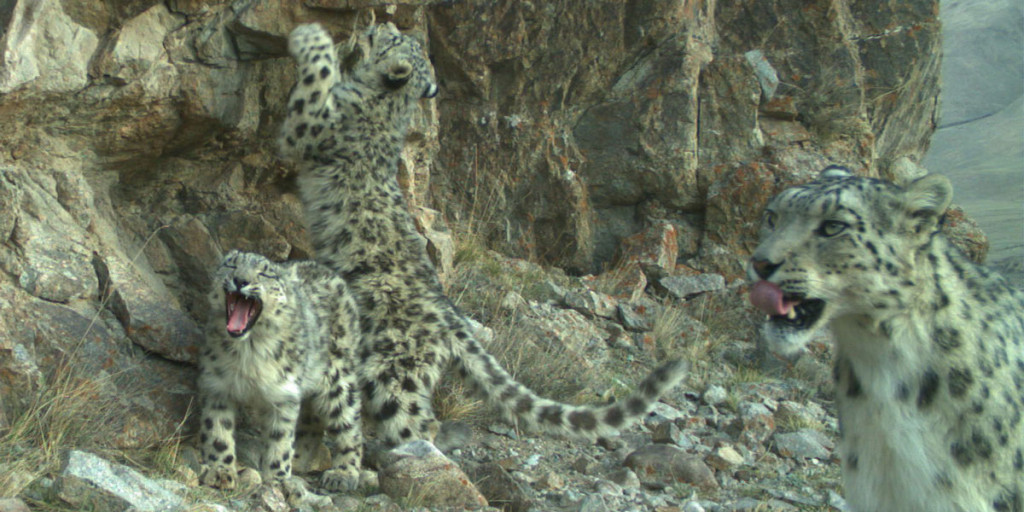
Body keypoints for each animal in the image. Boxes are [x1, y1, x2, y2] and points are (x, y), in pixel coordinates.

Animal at [197, 250, 363, 493]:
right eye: (231, 265)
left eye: (265, 273)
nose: (240, 280)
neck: (249, 350)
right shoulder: (218, 386)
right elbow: (218, 430)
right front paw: (220, 471)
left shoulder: (283, 394)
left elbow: (280, 438)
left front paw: (278, 480)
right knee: (311, 422)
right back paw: (300, 460)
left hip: (338, 379)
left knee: (350, 424)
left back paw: (343, 474)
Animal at [277, 21, 688, 448]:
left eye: (392, 39)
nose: (379, 23)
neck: (382, 100)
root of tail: (450, 318)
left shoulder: (309, 130)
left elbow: (312, 90)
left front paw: (312, 41)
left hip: (391, 365)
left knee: (415, 419)